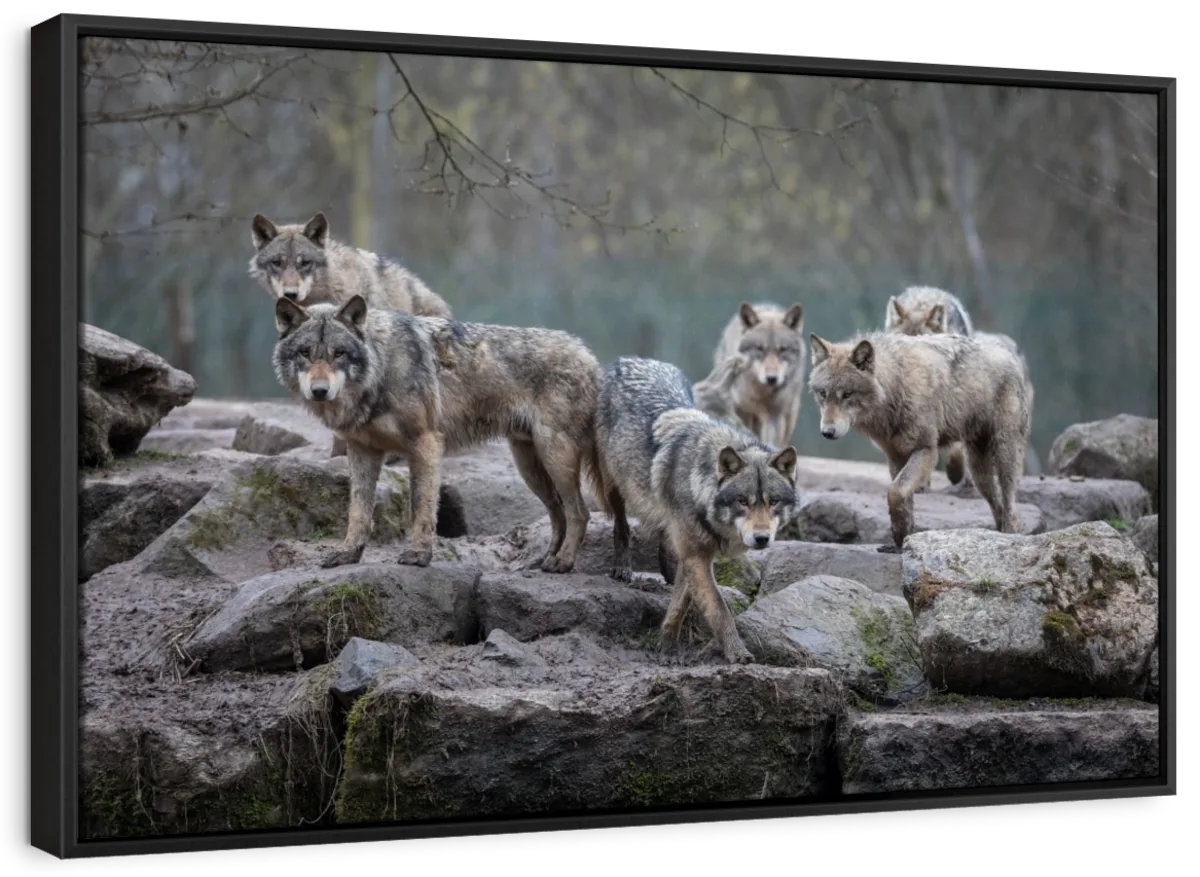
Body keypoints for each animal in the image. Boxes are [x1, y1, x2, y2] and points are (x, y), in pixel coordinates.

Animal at [273, 295, 602, 572]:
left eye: (339, 353)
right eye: (305, 353)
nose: (319, 391)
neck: (381, 369)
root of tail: (590, 356)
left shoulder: (426, 443)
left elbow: (421, 505)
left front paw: (419, 555)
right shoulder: (362, 451)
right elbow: (358, 511)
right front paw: (348, 553)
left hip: (554, 457)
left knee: (579, 512)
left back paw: (563, 562)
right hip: (529, 467)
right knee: (559, 513)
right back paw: (546, 559)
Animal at [596, 357, 799, 663]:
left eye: (772, 501)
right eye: (743, 501)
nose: (762, 538)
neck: (698, 483)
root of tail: (633, 359)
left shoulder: (694, 555)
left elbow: (681, 603)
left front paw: (667, 646)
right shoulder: (697, 556)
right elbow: (719, 608)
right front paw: (737, 652)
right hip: (614, 485)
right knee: (621, 524)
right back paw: (622, 566)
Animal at [700, 302, 806, 447]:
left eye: (782, 350)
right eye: (759, 348)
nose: (772, 378)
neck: (761, 393)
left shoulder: (774, 416)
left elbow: (771, 441)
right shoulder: (742, 411)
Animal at [808, 332, 1031, 551]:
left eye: (847, 395)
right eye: (823, 394)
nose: (827, 432)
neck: (896, 386)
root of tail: (1007, 351)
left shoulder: (926, 450)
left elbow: (895, 491)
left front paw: (901, 535)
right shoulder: (896, 456)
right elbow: (904, 499)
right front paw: (902, 539)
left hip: (1004, 454)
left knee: (1010, 502)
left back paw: (1010, 534)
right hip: (979, 472)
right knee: (997, 503)